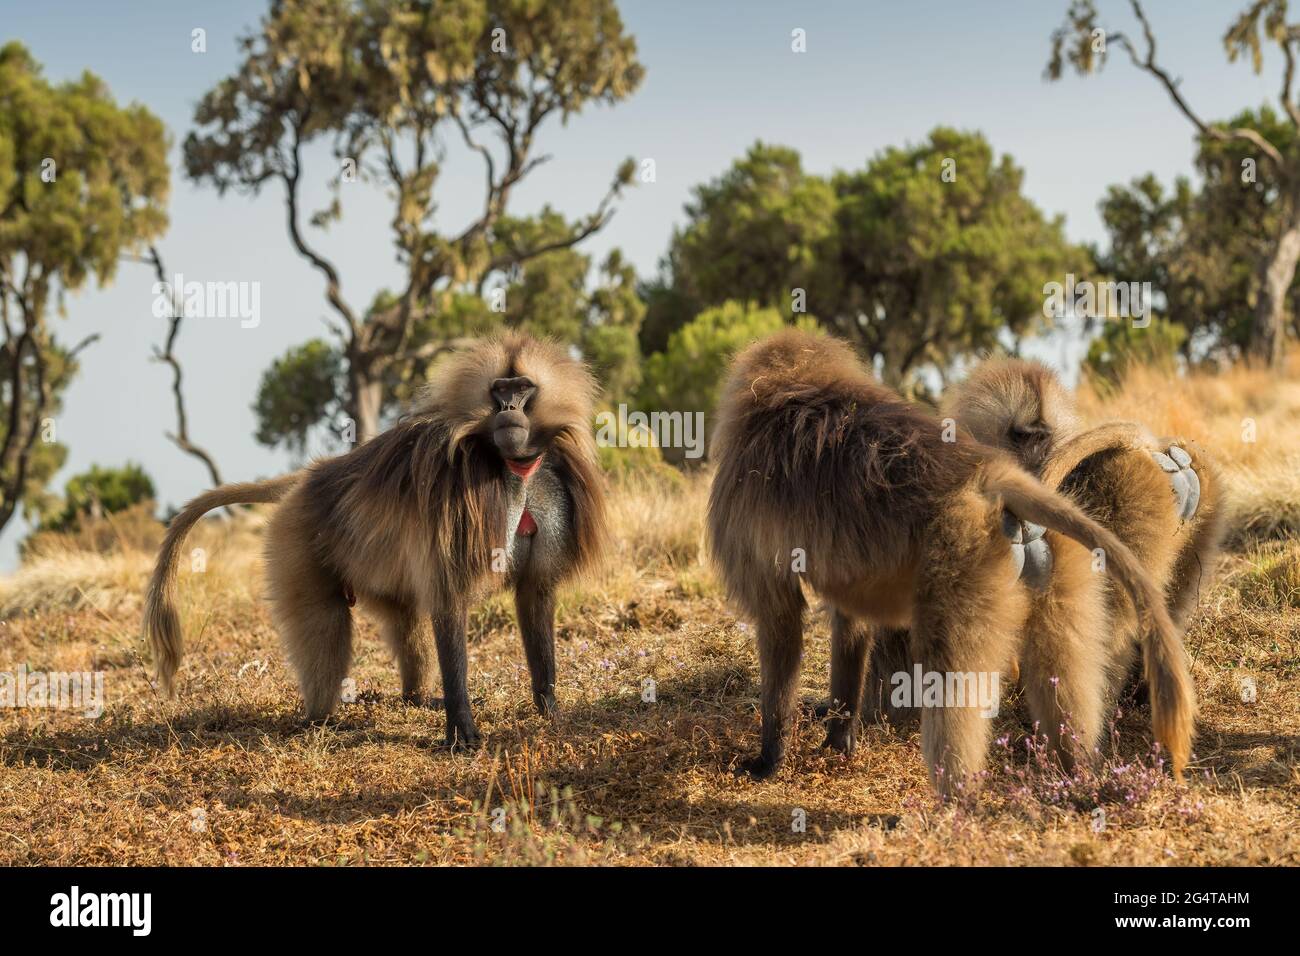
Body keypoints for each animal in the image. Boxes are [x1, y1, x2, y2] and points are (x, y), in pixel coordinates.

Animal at [143, 334, 607, 749]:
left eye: (522, 388)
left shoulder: (552, 491)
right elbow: (448, 600)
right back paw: (321, 719)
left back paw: (417, 699)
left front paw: (548, 707)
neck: (512, 467)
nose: (509, 409)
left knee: (405, 620)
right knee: (326, 627)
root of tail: (310, 477)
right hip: (296, 541)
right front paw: (461, 728)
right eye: (500, 390)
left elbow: (534, 594)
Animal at [707, 329, 1194, 796]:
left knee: (950, 676)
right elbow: (851, 624)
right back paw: (1079, 778)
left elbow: (781, 624)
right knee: (1062, 669)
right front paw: (838, 742)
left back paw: (956, 805)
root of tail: (992, 474)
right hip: (1054, 559)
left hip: (963, 561)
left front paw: (768, 760)